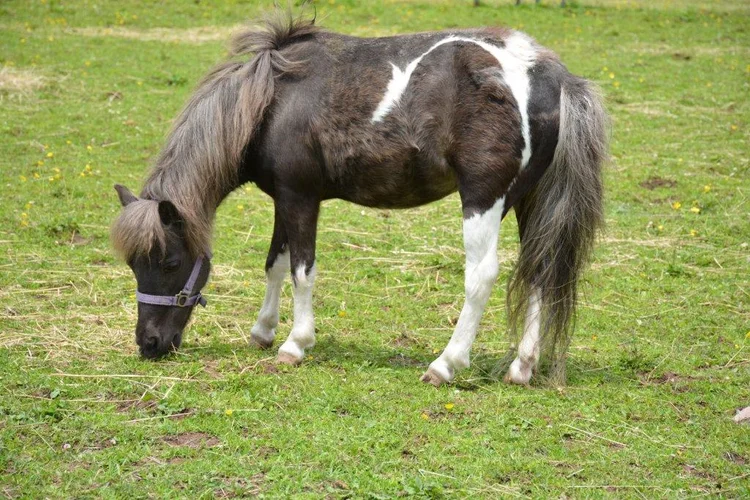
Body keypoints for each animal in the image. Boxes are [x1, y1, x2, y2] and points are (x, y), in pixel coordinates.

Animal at [111, 11, 607, 387]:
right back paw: (522, 368)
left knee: (481, 277)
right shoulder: (284, 199)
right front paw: (262, 331)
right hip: (532, 202)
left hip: (483, 199)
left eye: (170, 263)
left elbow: (302, 271)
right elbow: (274, 264)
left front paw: (295, 344)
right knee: (540, 272)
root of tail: (553, 76)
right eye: (134, 264)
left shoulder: (301, 199)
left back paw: (445, 365)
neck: (272, 99)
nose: (148, 344)